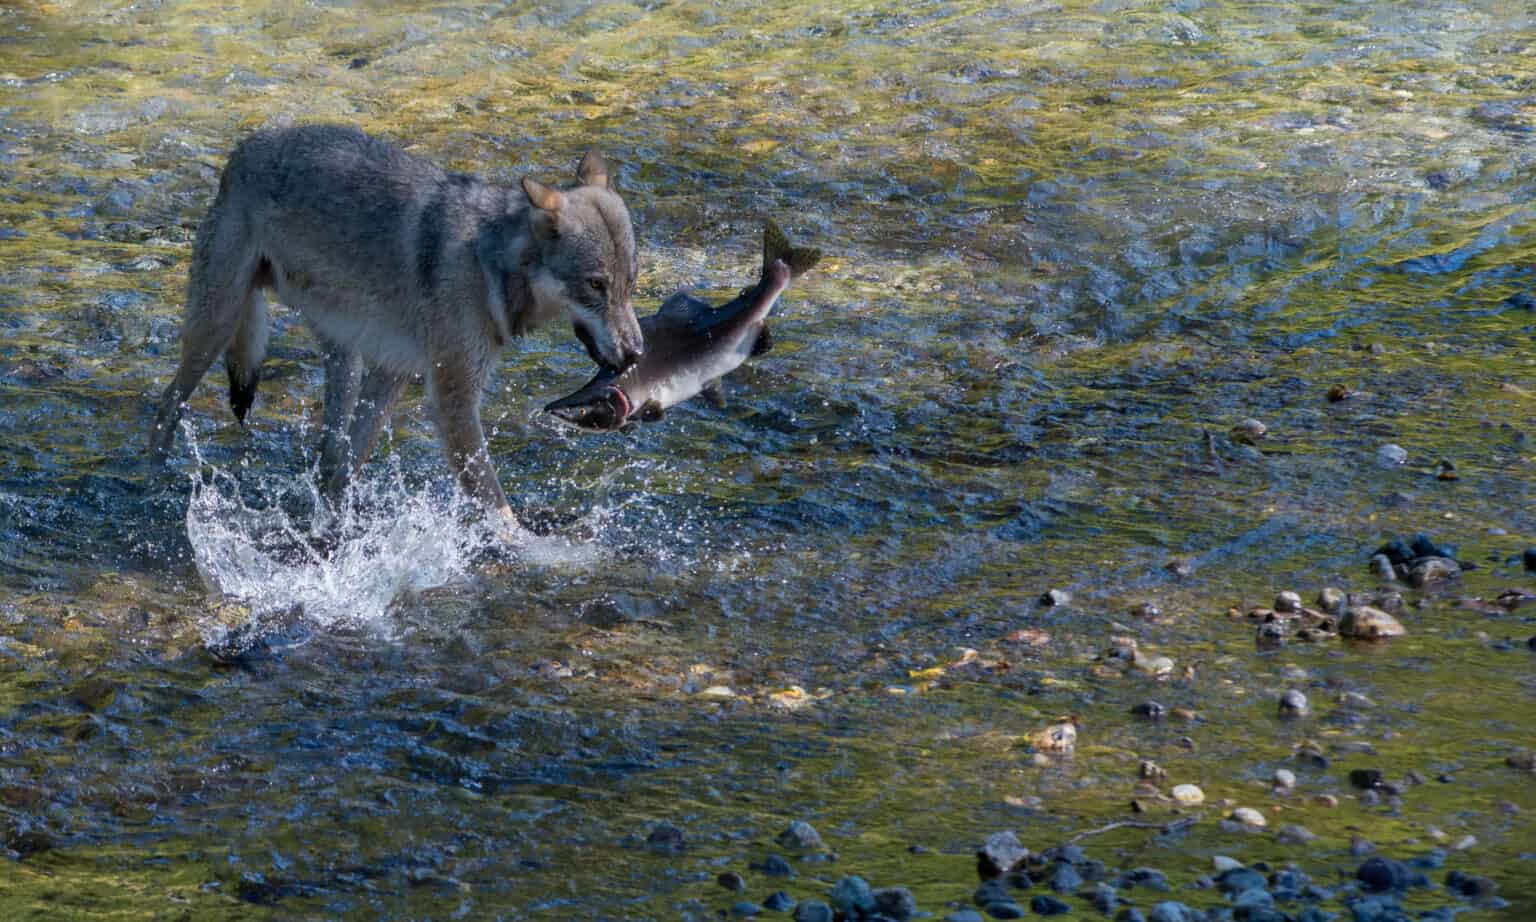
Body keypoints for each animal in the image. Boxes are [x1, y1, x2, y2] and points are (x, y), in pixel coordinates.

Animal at [148, 124, 643, 533]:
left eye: (629, 284)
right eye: (595, 285)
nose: (637, 353)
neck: (492, 264)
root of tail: (243, 149)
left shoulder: (395, 372)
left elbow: (350, 466)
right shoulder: (453, 400)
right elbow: (496, 503)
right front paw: (532, 549)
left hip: (345, 361)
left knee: (330, 460)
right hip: (215, 328)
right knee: (167, 405)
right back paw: (154, 477)